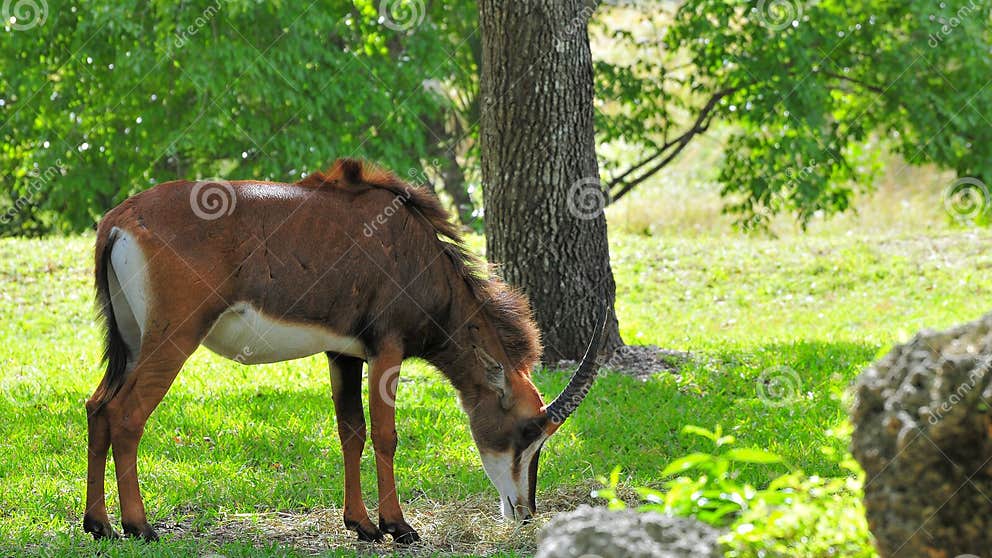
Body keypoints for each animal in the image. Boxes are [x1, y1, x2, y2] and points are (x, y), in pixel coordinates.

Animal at [83, 158, 607, 544]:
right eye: (527, 432)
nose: (524, 513)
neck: (414, 249)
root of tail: (119, 220)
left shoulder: (344, 354)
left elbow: (350, 432)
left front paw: (362, 525)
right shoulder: (386, 349)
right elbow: (385, 434)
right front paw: (399, 526)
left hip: (132, 341)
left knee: (98, 406)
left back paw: (99, 525)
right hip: (172, 339)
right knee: (126, 414)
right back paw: (139, 526)